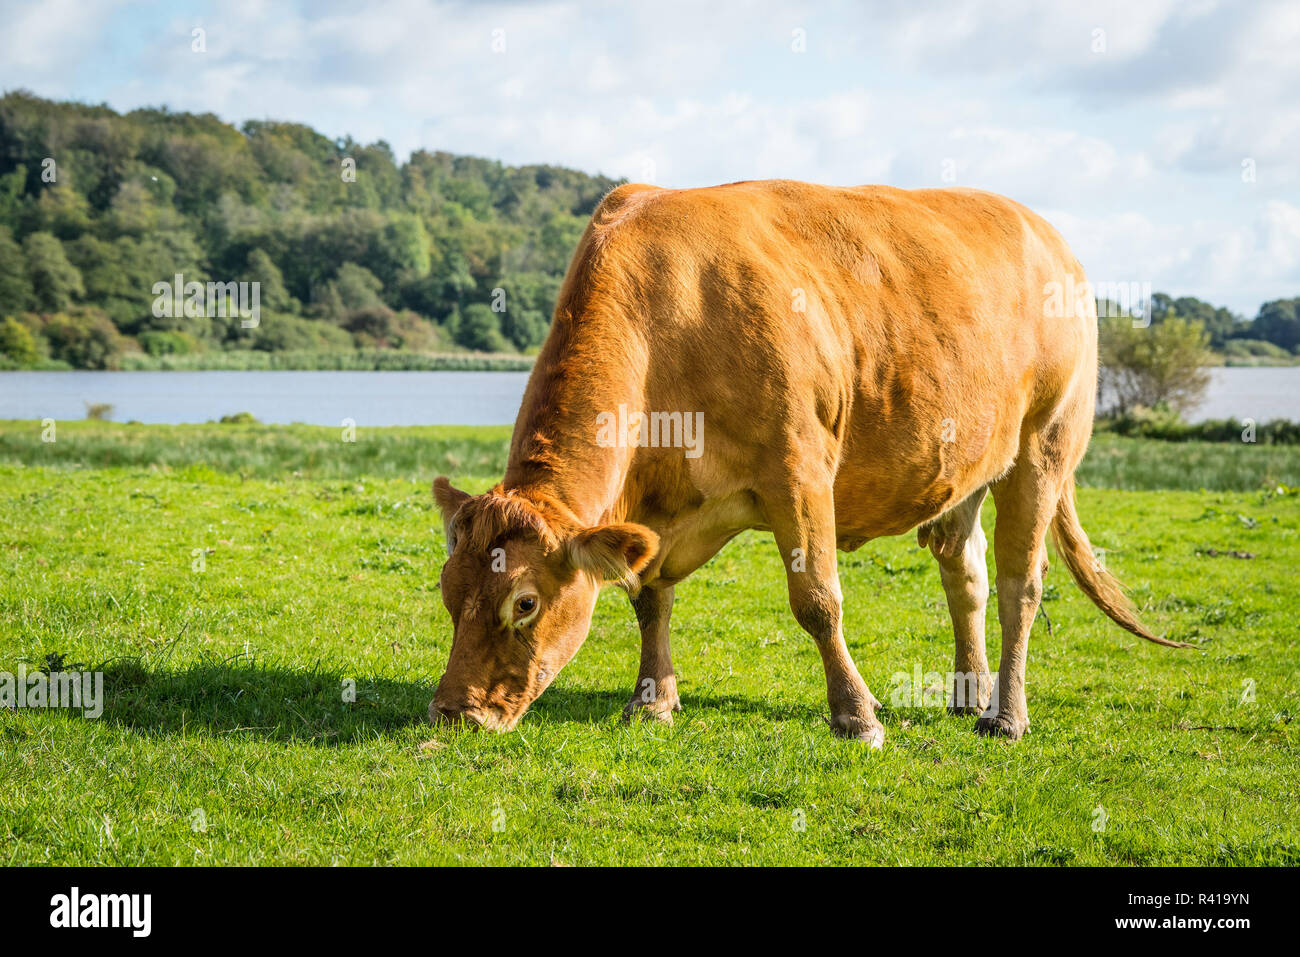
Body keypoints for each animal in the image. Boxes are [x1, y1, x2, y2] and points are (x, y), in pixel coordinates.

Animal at [429, 179, 1186, 747]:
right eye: (446, 591)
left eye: (525, 602)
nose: (453, 713)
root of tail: (1045, 231)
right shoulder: (653, 511)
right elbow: (649, 596)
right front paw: (652, 701)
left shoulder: (799, 468)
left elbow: (818, 600)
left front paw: (857, 715)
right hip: (969, 460)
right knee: (963, 570)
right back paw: (970, 694)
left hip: (1044, 444)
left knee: (1019, 584)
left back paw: (1007, 716)